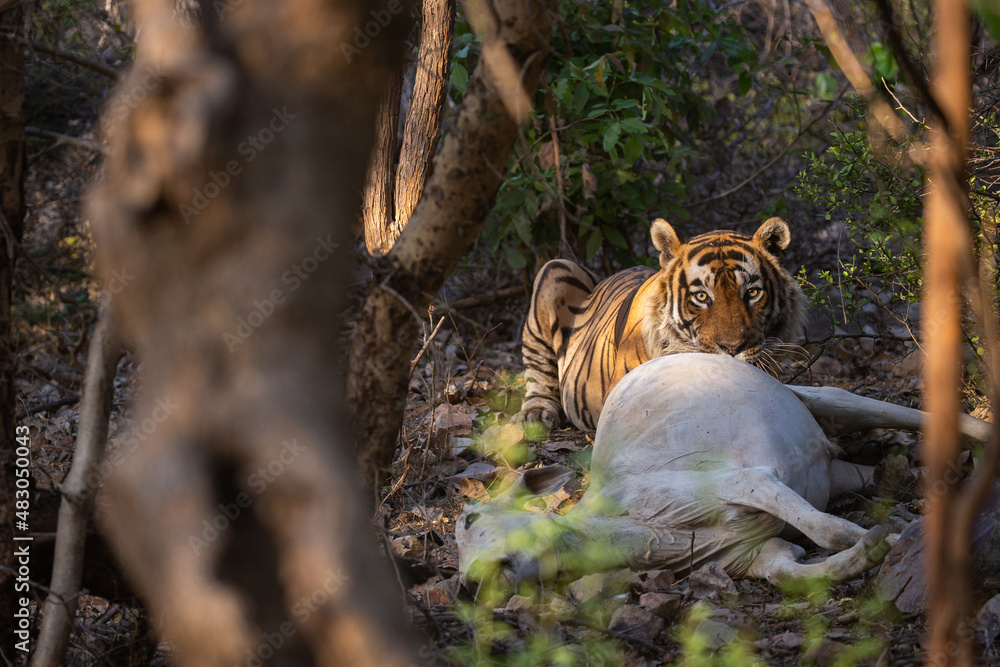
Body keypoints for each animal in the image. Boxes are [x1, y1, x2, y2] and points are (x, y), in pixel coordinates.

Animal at [515, 217, 806, 431]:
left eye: (753, 293)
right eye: (702, 296)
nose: (732, 348)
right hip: (554, 270)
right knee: (538, 375)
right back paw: (536, 414)